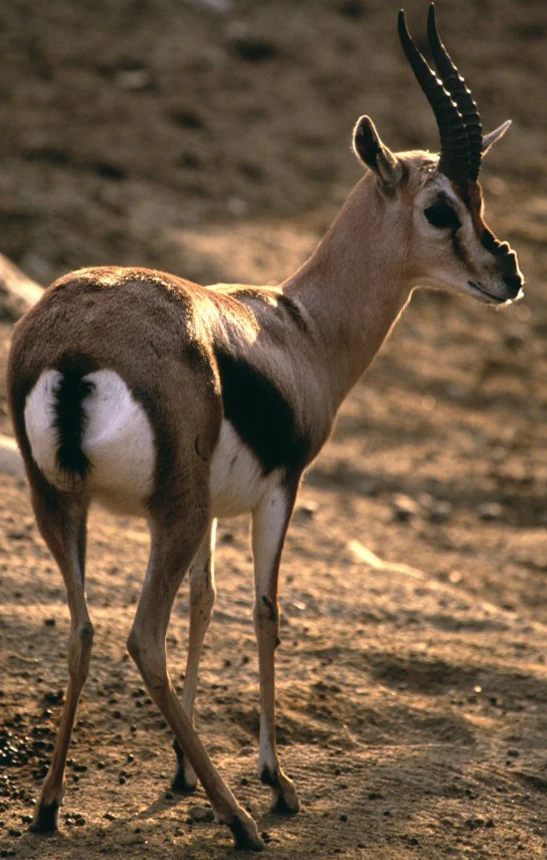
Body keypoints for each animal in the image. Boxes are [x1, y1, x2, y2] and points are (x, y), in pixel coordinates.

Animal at [7, 5, 523, 852]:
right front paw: (276, 780)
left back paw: (51, 807)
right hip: (169, 513)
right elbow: (263, 613)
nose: (506, 273)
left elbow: (206, 603)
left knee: (83, 629)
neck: (298, 330)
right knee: (139, 636)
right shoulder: (280, 490)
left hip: (67, 504)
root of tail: (76, 344)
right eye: (442, 206)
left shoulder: (217, 510)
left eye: (481, 194)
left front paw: (180, 775)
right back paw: (243, 821)